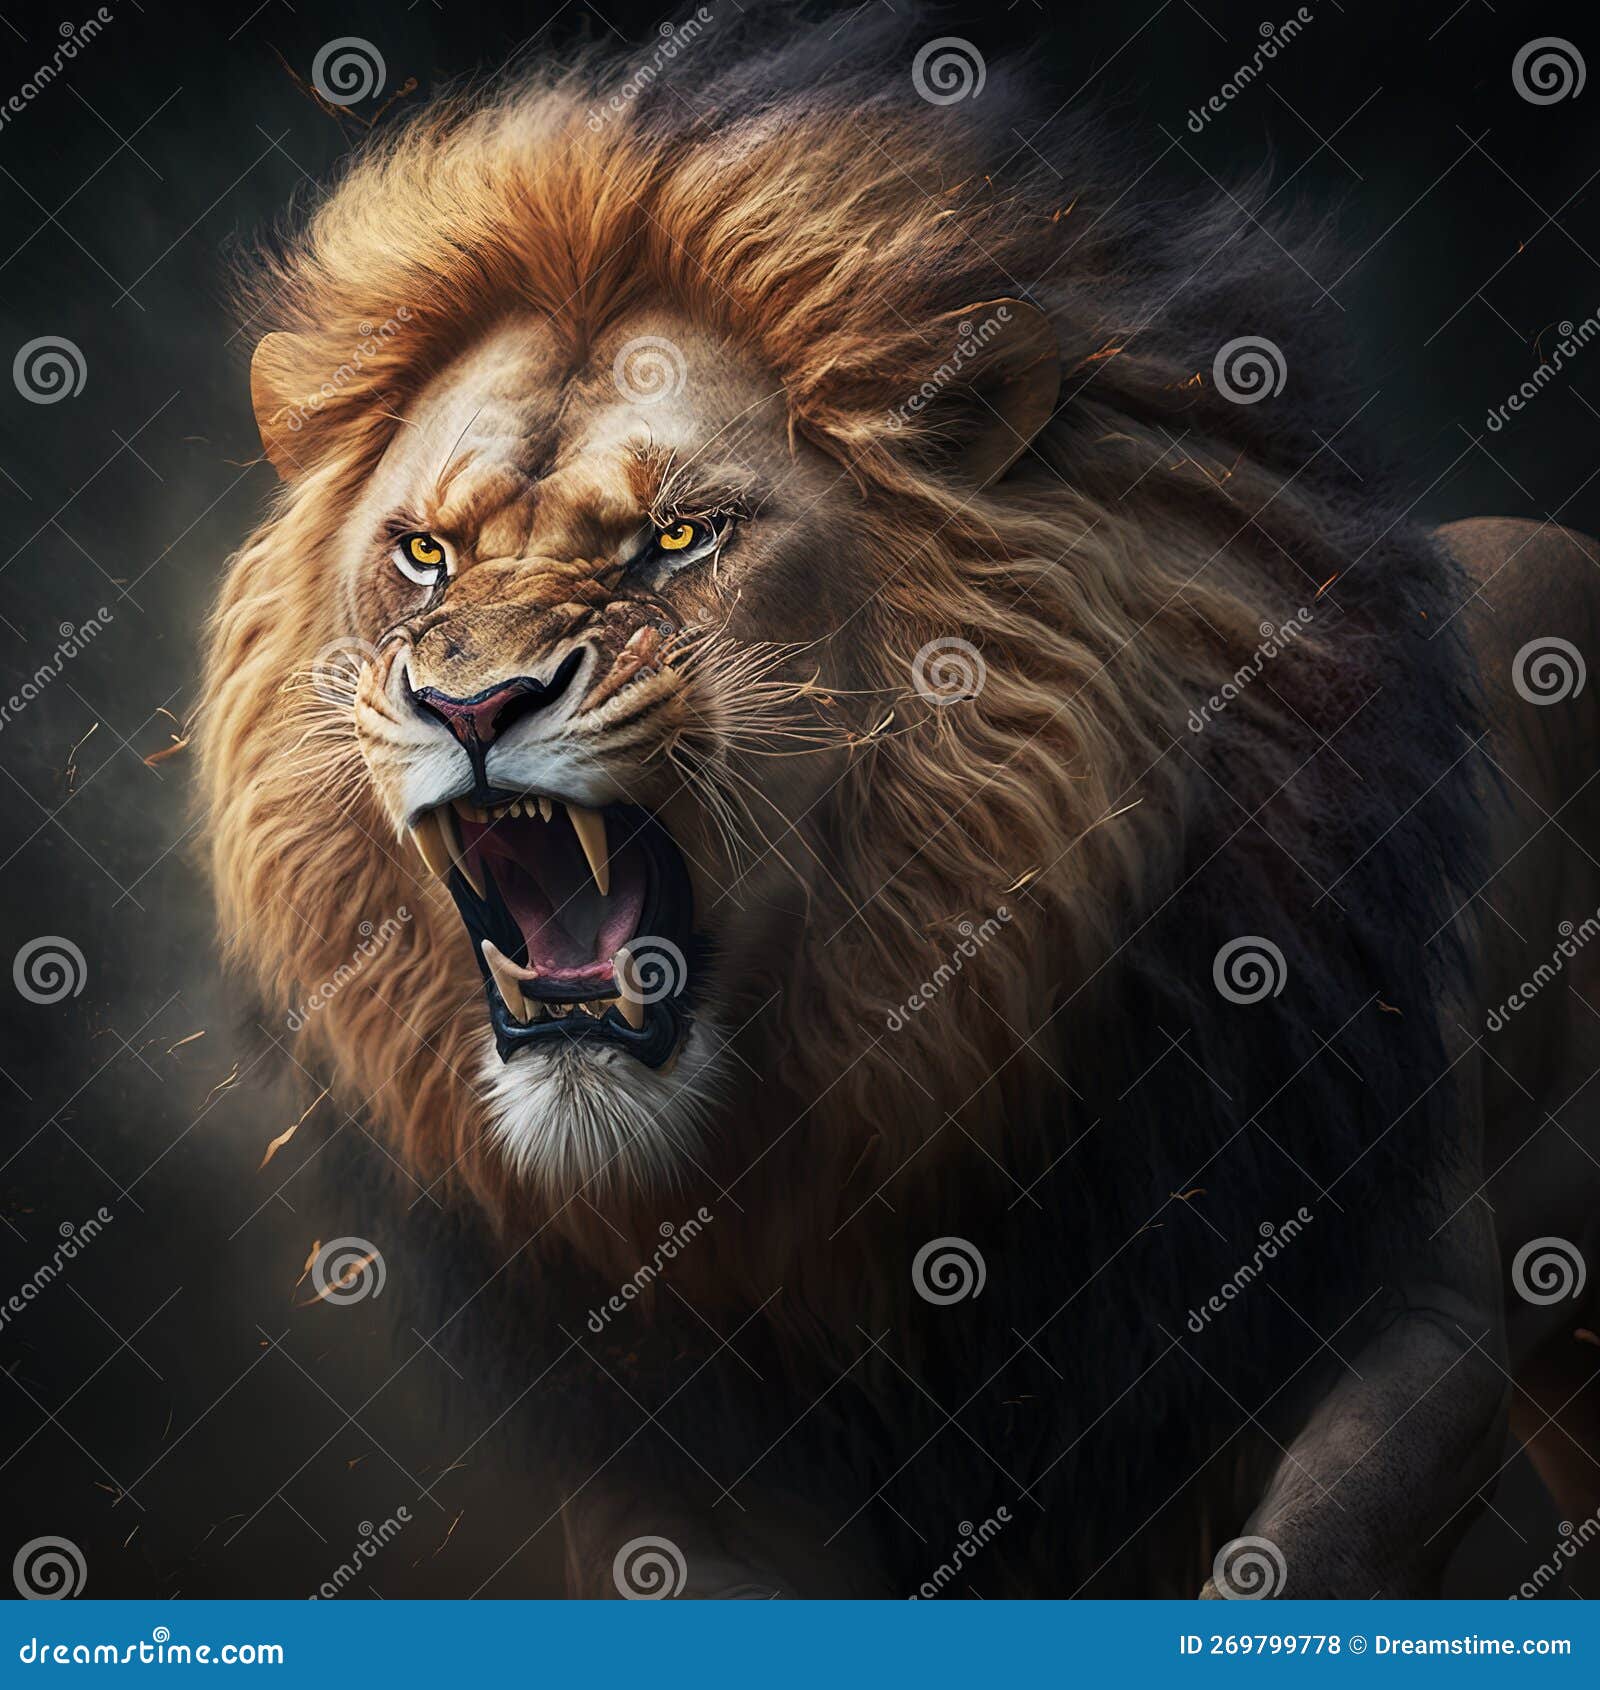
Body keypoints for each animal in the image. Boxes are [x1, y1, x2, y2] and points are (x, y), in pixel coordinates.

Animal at [200, 10, 1600, 1597]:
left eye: (680, 537)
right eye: (426, 552)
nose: (474, 705)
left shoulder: (1414, 1321)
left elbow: (1291, 1567)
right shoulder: (688, 1477)